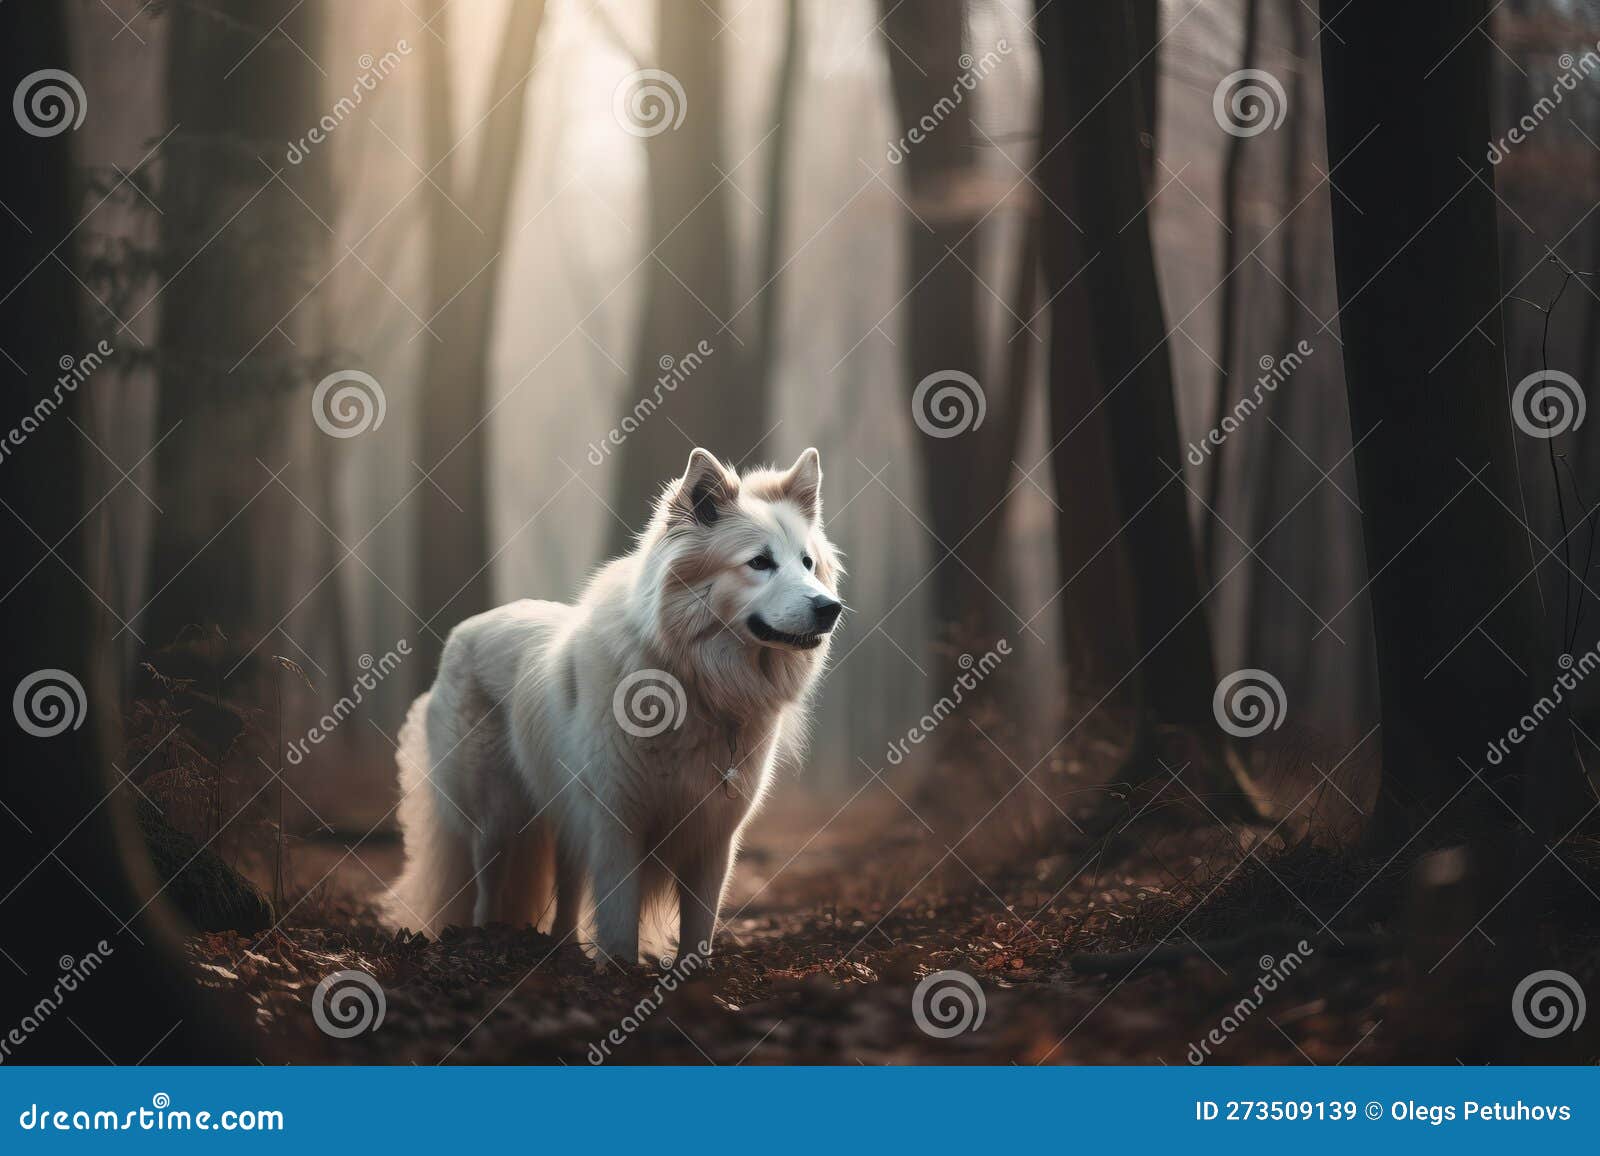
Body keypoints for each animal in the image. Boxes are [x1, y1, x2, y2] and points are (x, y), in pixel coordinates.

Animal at [383, 448, 843, 966]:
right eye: (760, 562)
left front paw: (691, 973)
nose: (831, 608)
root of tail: (464, 630)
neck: (693, 685)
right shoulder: (618, 824)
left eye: (807, 563)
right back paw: (483, 939)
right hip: (497, 820)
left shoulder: (713, 835)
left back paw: (565, 948)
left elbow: (698, 925)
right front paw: (620, 970)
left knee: (566, 887)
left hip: (562, 815)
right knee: (487, 889)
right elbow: (619, 918)